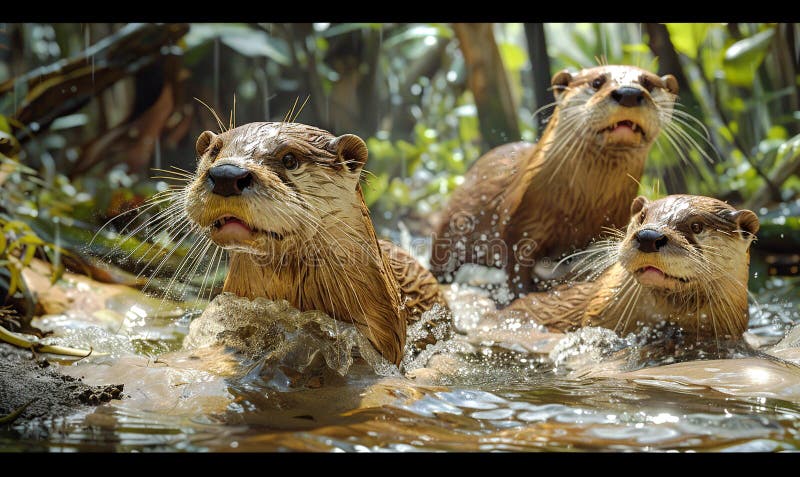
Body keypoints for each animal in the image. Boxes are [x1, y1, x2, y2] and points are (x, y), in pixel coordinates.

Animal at [430, 65, 680, 299]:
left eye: (648, 83)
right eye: (597, 82)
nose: (629, 93)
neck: (581, 204)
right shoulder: (520, 222)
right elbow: (517, 264)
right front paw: (520, 294)